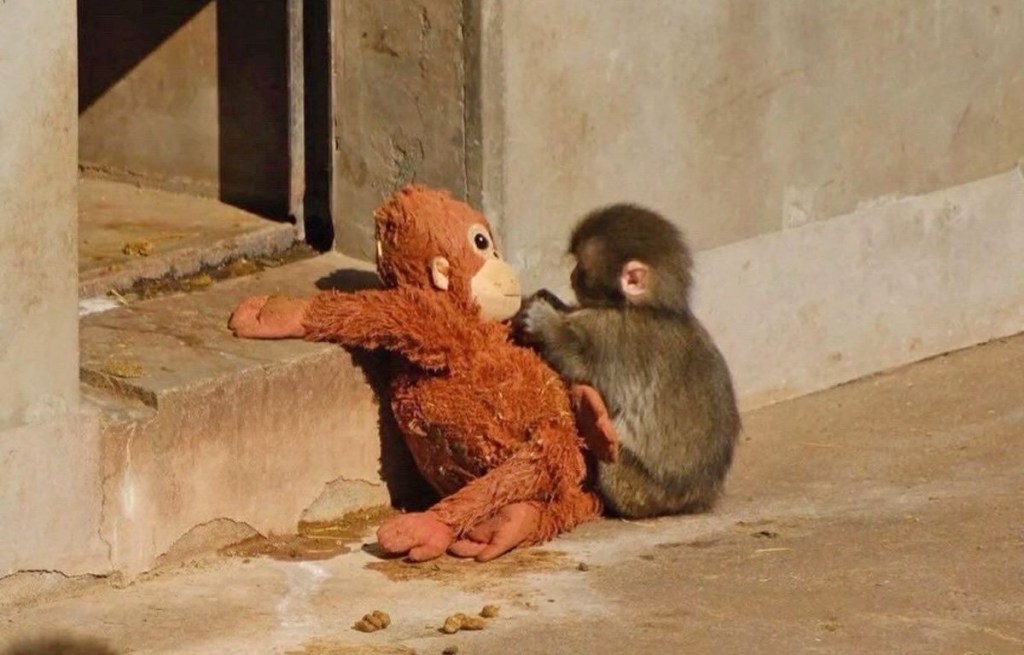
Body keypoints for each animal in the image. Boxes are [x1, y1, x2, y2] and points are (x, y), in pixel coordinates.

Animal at [512, 203, 741, 519]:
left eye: (582, 268)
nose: (571, 276)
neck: (649, 308)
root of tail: (695, 500)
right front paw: (552, 301)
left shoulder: (612, 335)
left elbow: (581, 366)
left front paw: (544, 321)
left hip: (639, 491)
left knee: (612, 463)